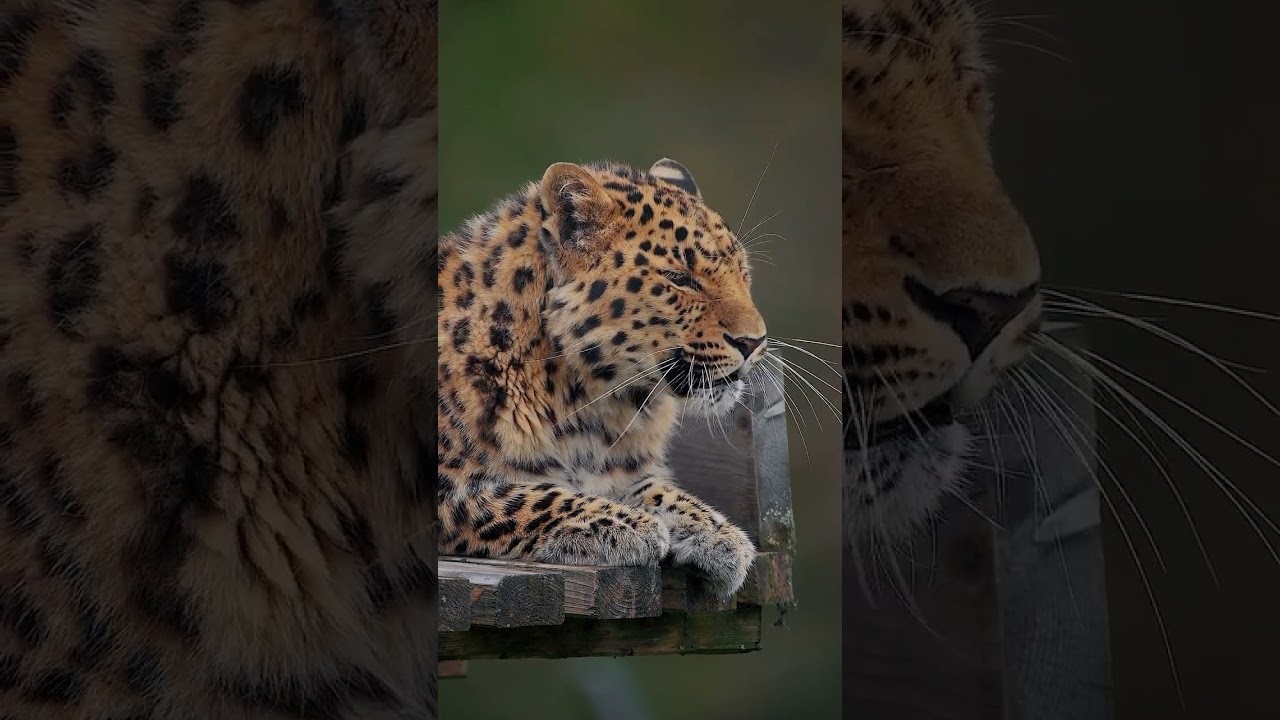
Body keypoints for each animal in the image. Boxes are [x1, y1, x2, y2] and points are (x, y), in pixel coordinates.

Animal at [436, 158, 766, 599]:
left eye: (743, 273)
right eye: (680, 279)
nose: (754, 341)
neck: (591, 404)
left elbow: (656, 490)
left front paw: (716, 532)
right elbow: (525, 497)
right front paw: (621, 524)